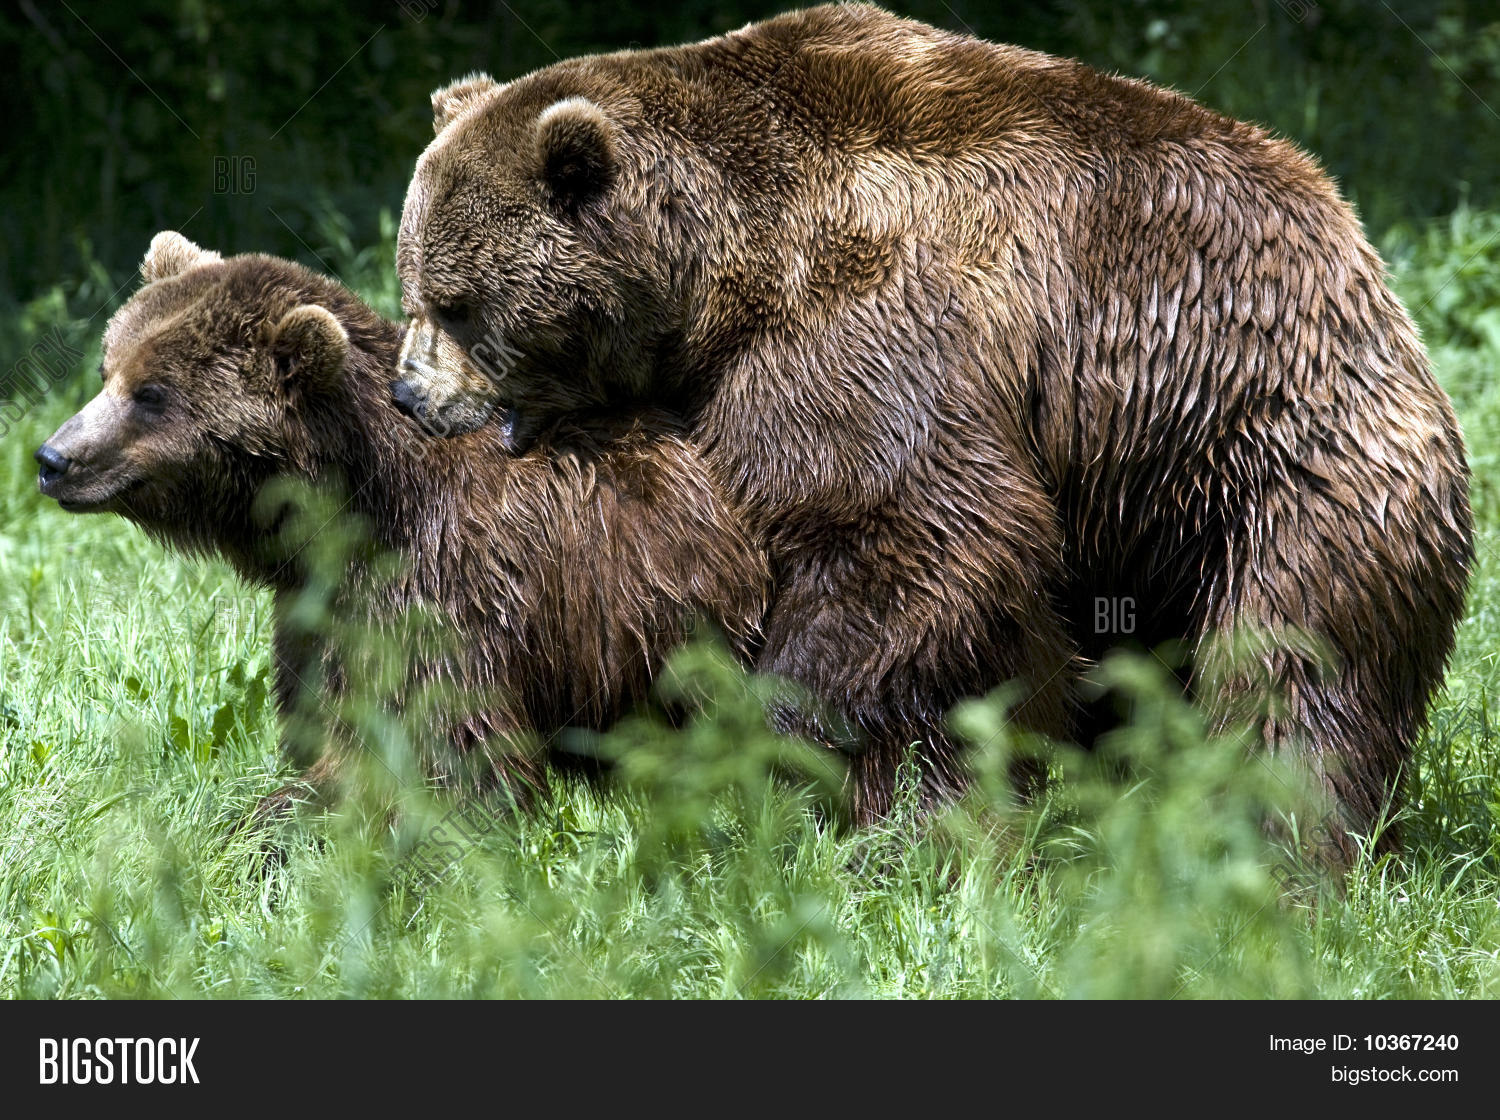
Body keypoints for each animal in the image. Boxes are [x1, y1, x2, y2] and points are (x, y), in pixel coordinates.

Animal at [35, 232, 770, 811]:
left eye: (151, 394)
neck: (359, 507)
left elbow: (434, 748)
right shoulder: (319, 608)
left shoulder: (440, 594)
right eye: (107, 368)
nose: (52, 458)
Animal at [386, 2, 1474, 861]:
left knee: (1297, 670)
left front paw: (799, 745)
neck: (718, 277)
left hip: (1275, 454)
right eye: (414, 290)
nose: (407, 394)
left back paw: (1269, 838)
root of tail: (1363, 257)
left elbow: (901, 528)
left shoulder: (867, 312)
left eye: (458, 305)